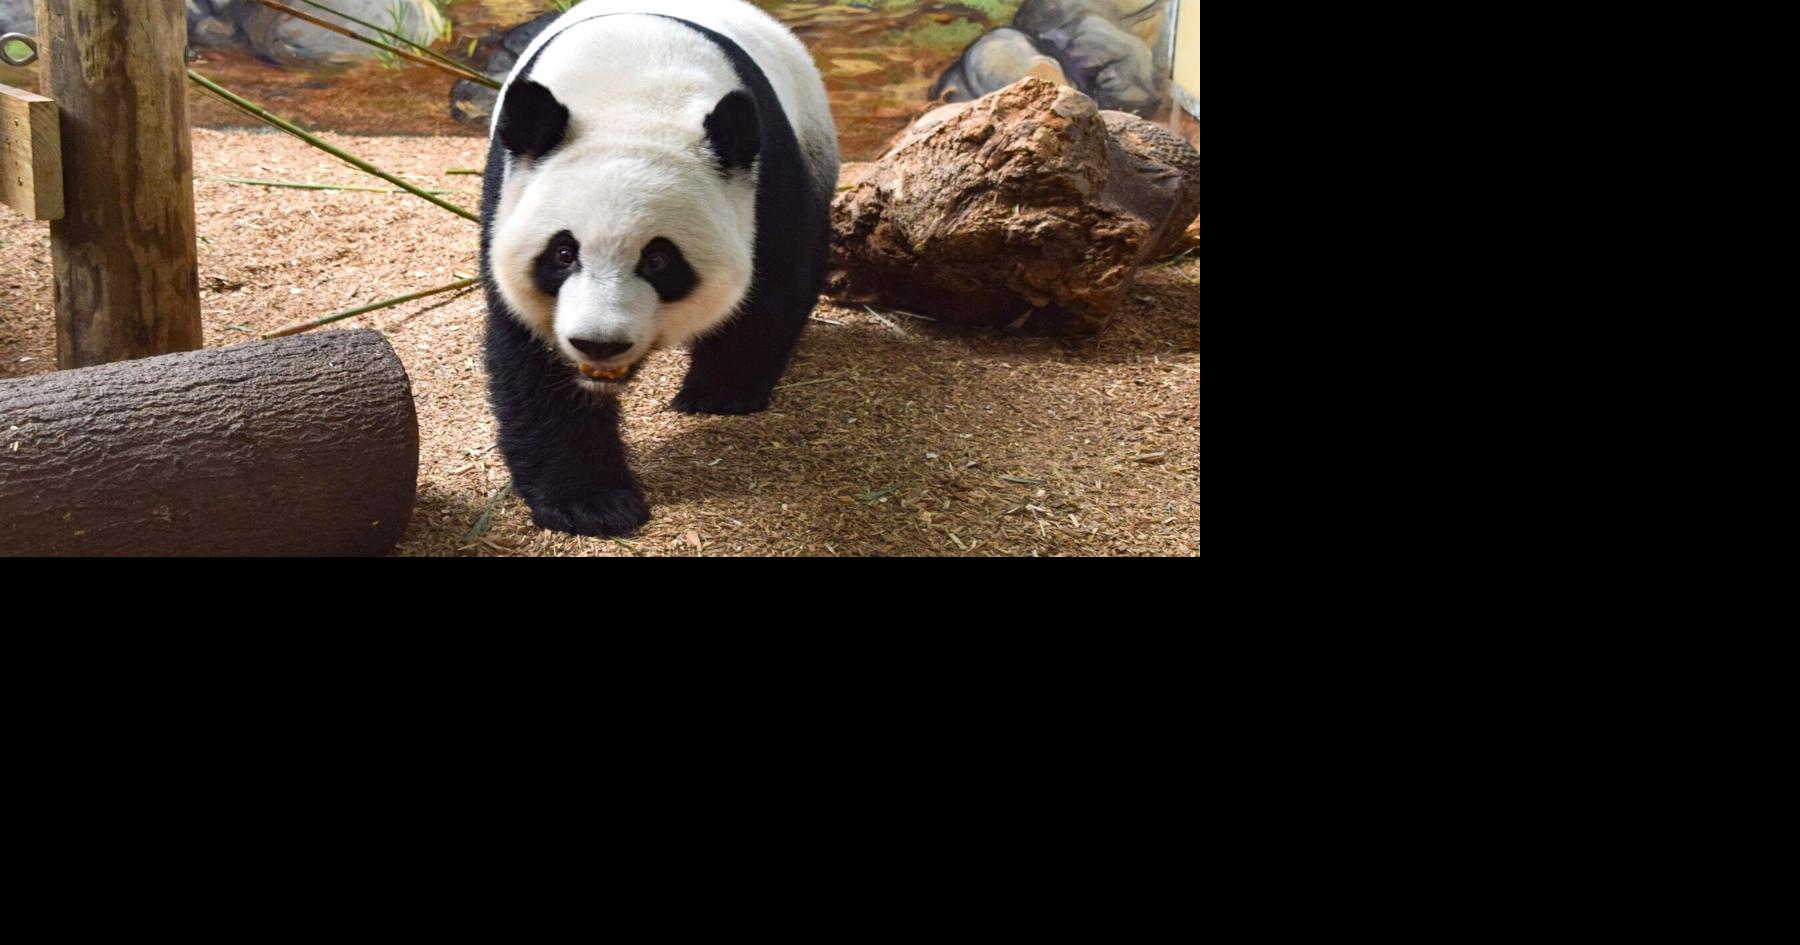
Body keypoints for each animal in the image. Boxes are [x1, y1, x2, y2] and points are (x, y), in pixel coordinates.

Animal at [479, 0, 838, 537]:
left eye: (659, 259)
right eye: (563, 254)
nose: (599, 344)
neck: (631, 97)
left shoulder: (766, 170)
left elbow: (775, 279)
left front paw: (720, 394)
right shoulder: (508, 194)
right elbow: (531, 357)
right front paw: (590, 503)